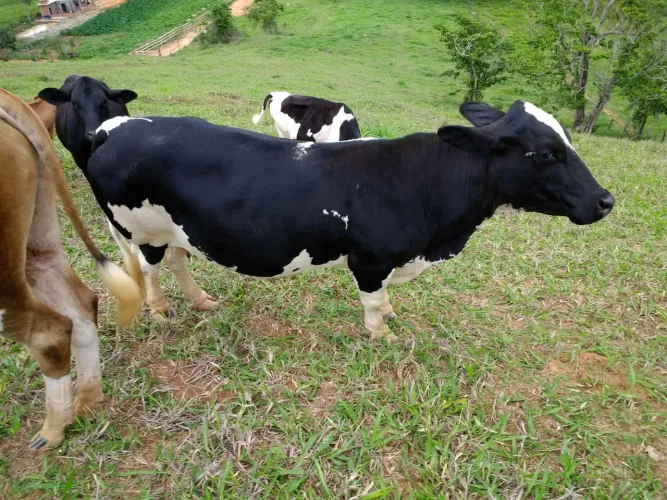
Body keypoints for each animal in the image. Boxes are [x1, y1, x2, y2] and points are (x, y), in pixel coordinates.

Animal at [0, 89, 143, 451]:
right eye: (74, 105)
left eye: (105, 100)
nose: (92, 133)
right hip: (37, 246)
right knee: (79, 306)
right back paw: (87, 404)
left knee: (50, 332)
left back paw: (52, 429)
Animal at [69, 99, 613, 342]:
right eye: (546, 153)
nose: (606, 200)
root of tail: (116, 126)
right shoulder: (369, 259)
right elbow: (372, 301)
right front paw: (382, 334)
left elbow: (385, 298)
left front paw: (390, 316)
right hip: (140, 228)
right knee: (151, 269)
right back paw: (162, 309)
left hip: (175, 226)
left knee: (180, 259)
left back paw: (201, 300)